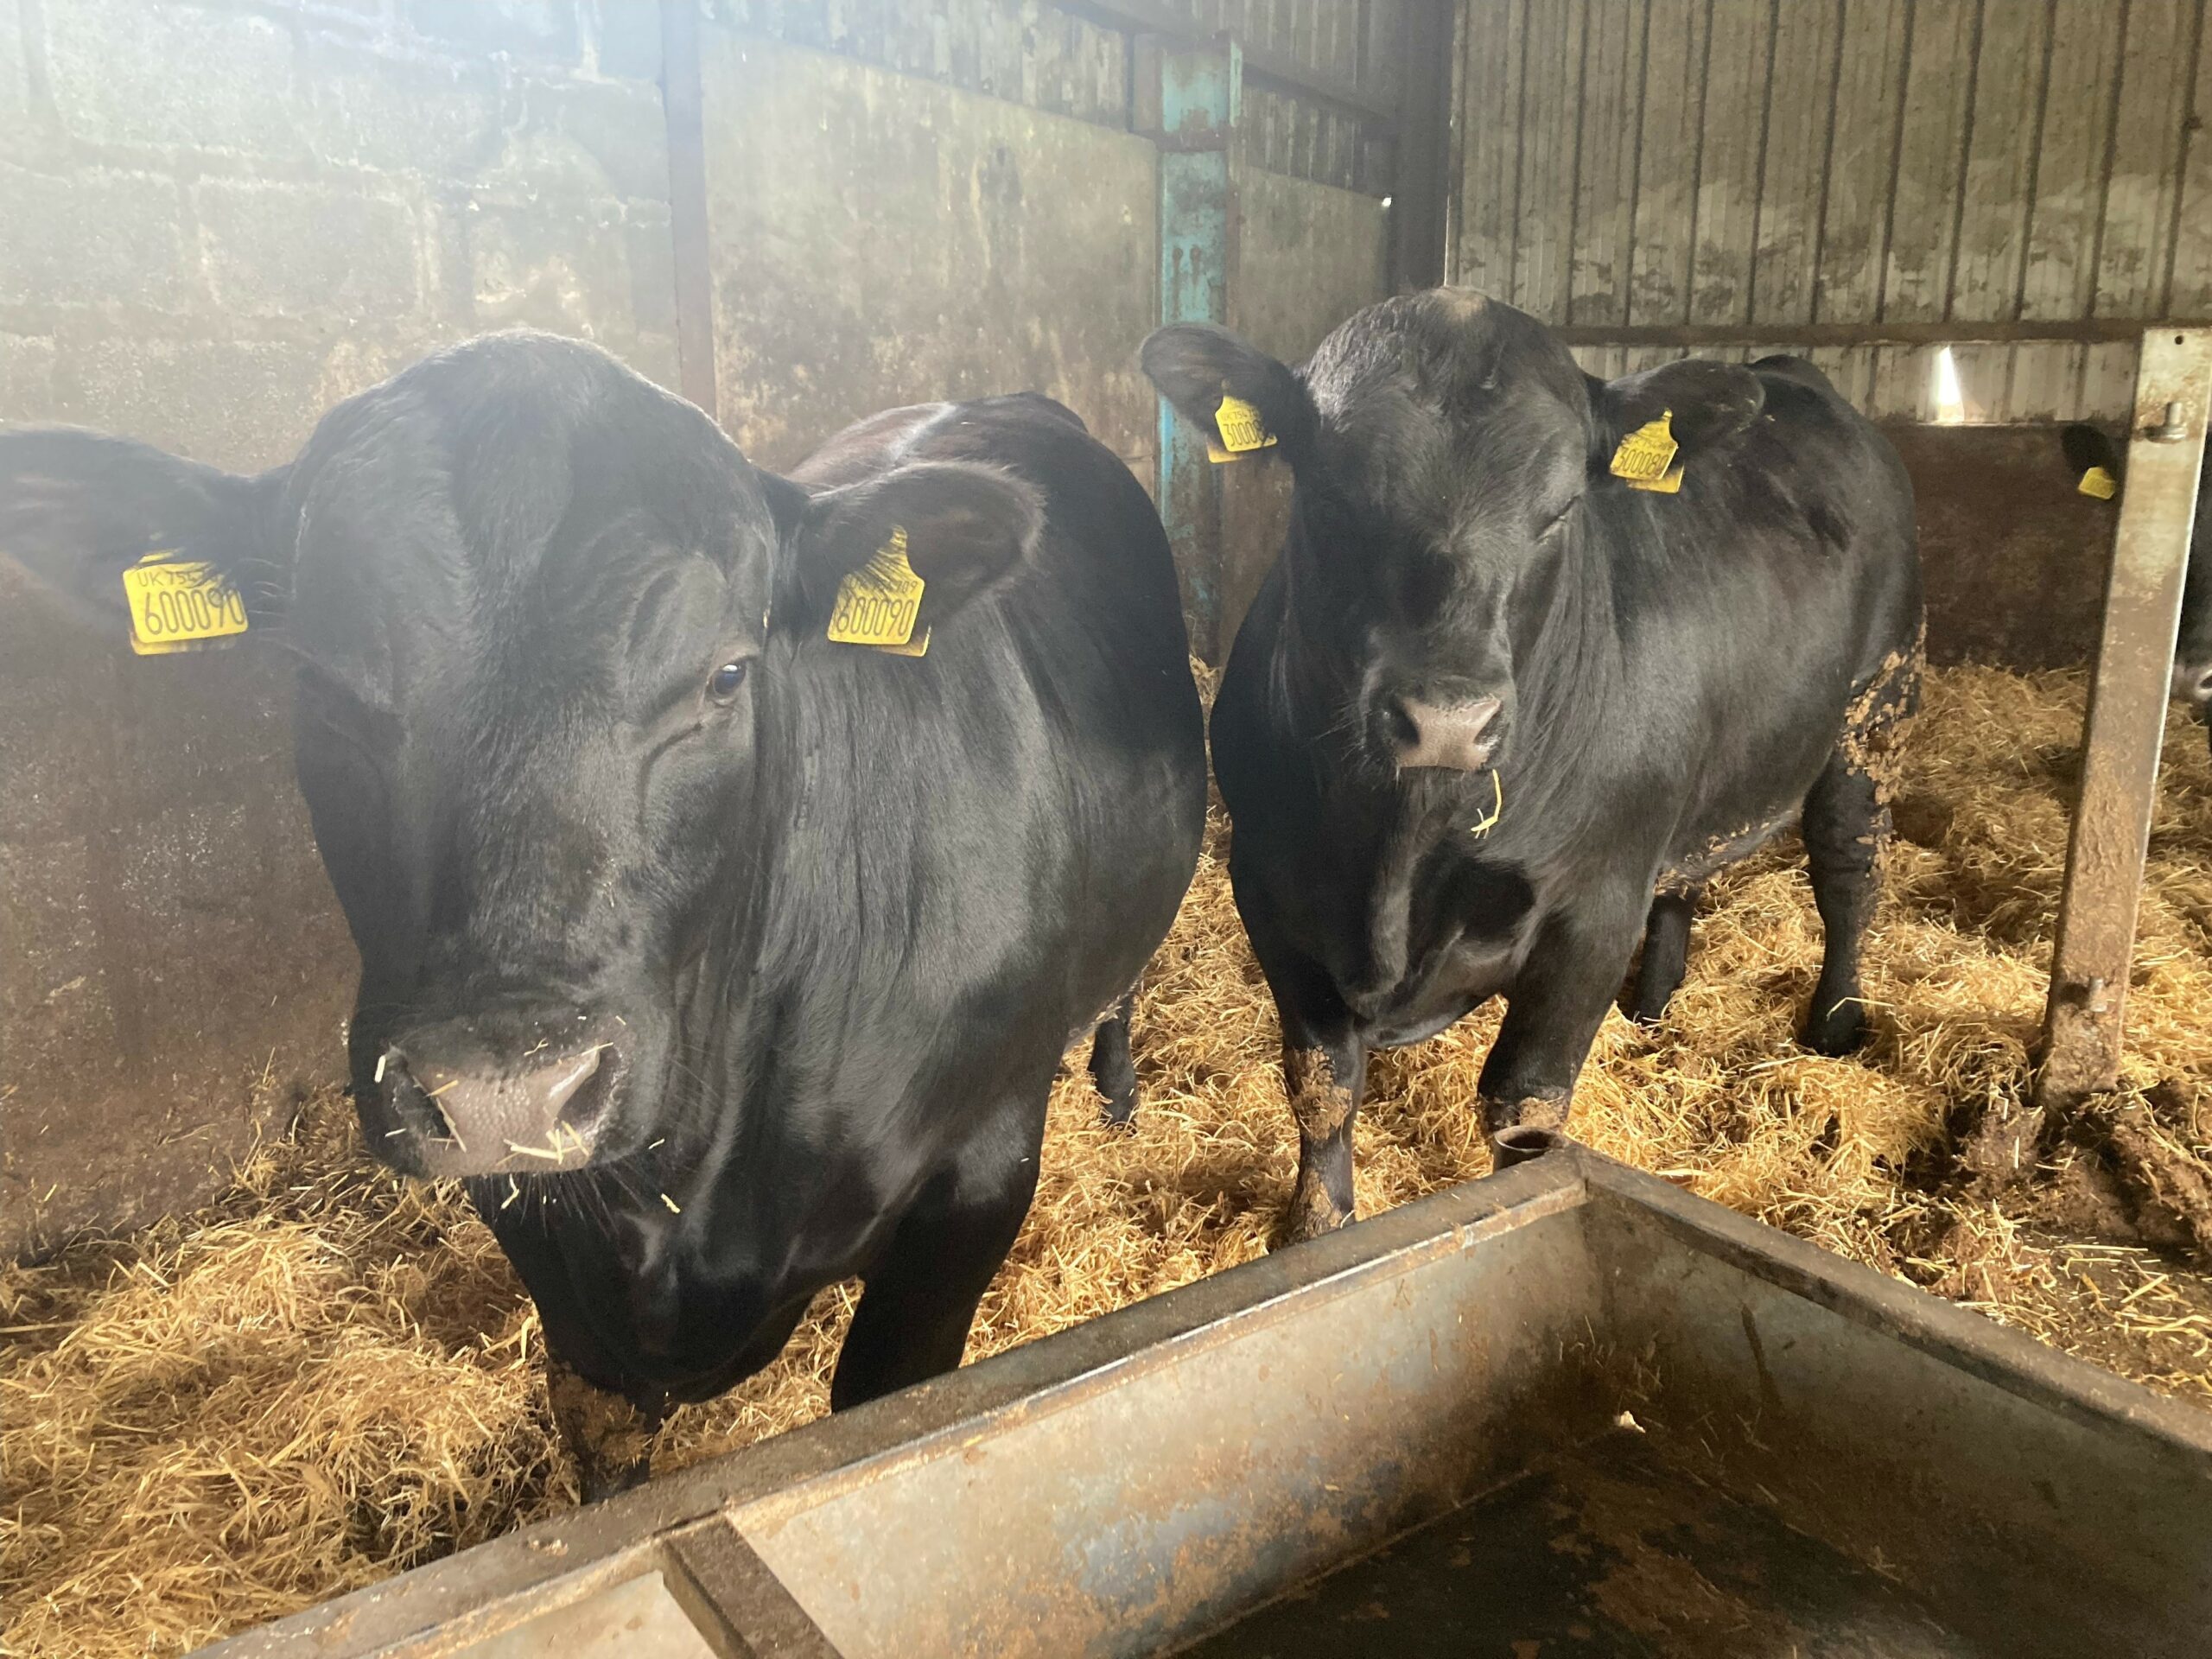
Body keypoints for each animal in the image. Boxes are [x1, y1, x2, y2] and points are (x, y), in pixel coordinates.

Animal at [0, 333, 1207, 1495]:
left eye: (728, 675)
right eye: (322, 686)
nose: (504, 1090)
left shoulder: (978, 1179)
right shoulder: (554, 1260)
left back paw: (1117, 1090)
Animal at [1141, 290, 1923, 1240]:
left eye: (1560, 510)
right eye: (1327, 495)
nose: (1446, 719)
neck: (1398, 853)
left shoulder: (1592, 909)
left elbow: (1524, 1113)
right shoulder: (1268, 885)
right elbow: (1320, 1087)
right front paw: (1311, 1231)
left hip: (1875, 709)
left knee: (1850, 872)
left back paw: (1836, 1024)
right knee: (1685, 880)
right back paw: (1652, 1009)